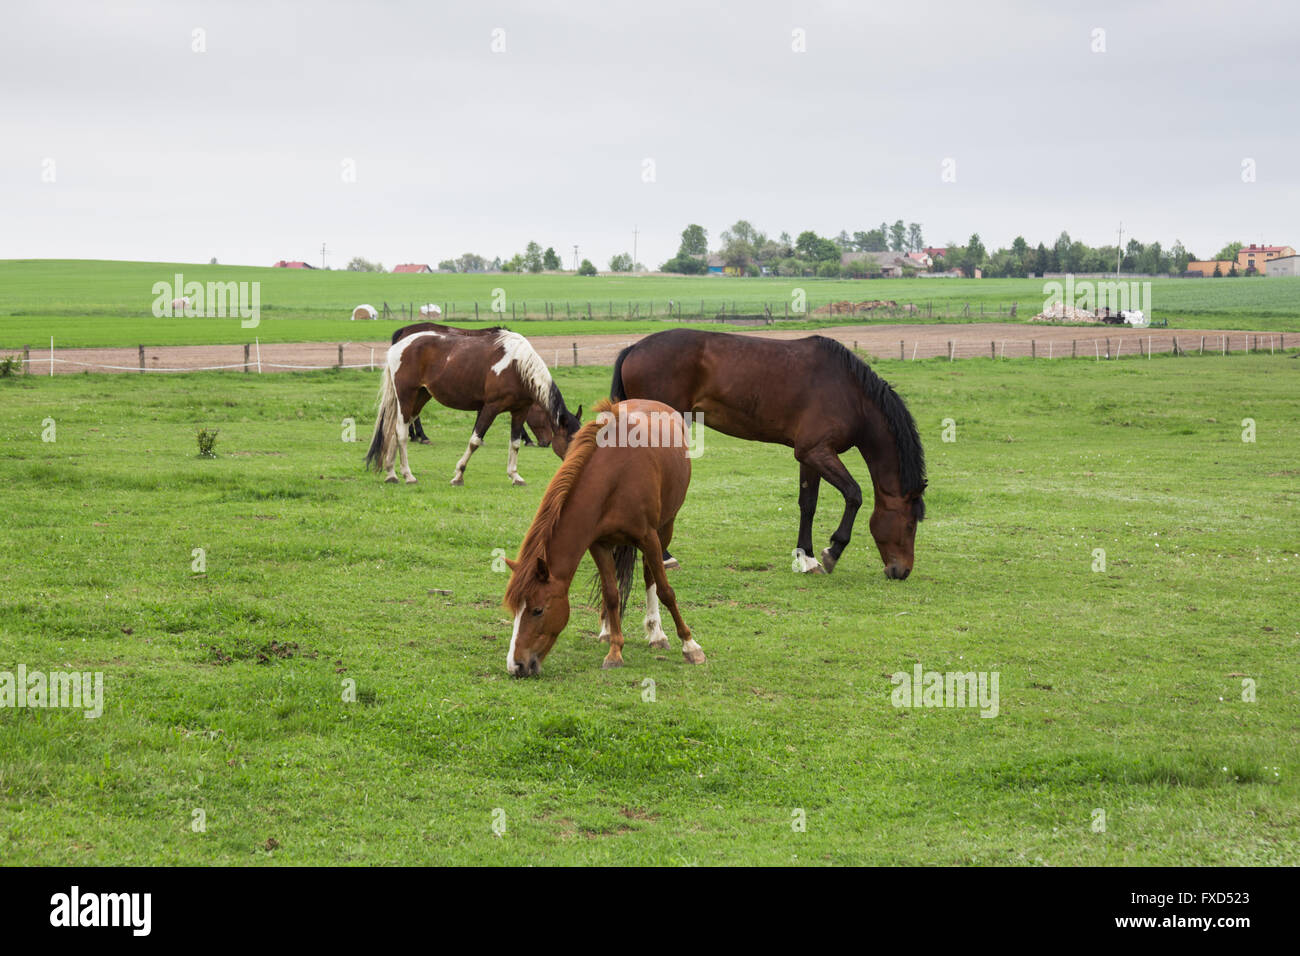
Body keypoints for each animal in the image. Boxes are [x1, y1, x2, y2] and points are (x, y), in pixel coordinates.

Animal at [388, 322, 554, 447]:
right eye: (544, 414)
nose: (547, 442)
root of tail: (405, 331)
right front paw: (527, 438)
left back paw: (414, 435)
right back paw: (422, 436)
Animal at [503, 398, 703, 676]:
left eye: (537, 610)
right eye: (515, 610)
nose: (516, 665)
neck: (615, 476)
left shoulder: (649, 537)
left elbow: (665, 590)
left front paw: (689, 645)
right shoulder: (598, 543)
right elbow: (611, 593)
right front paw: (615, 650)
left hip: (666, 526)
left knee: (650, 576)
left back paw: (657, 634)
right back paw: (608, 630)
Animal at [611, 329, 926, 578]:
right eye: (910, 524)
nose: (902, 571)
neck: (851, 394)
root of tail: (633, 349)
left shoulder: (811, 455)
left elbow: (808, 504)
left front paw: (807, 557)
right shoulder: (818, 452)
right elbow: (854, 494)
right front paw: (832, 551)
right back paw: (665, 557)